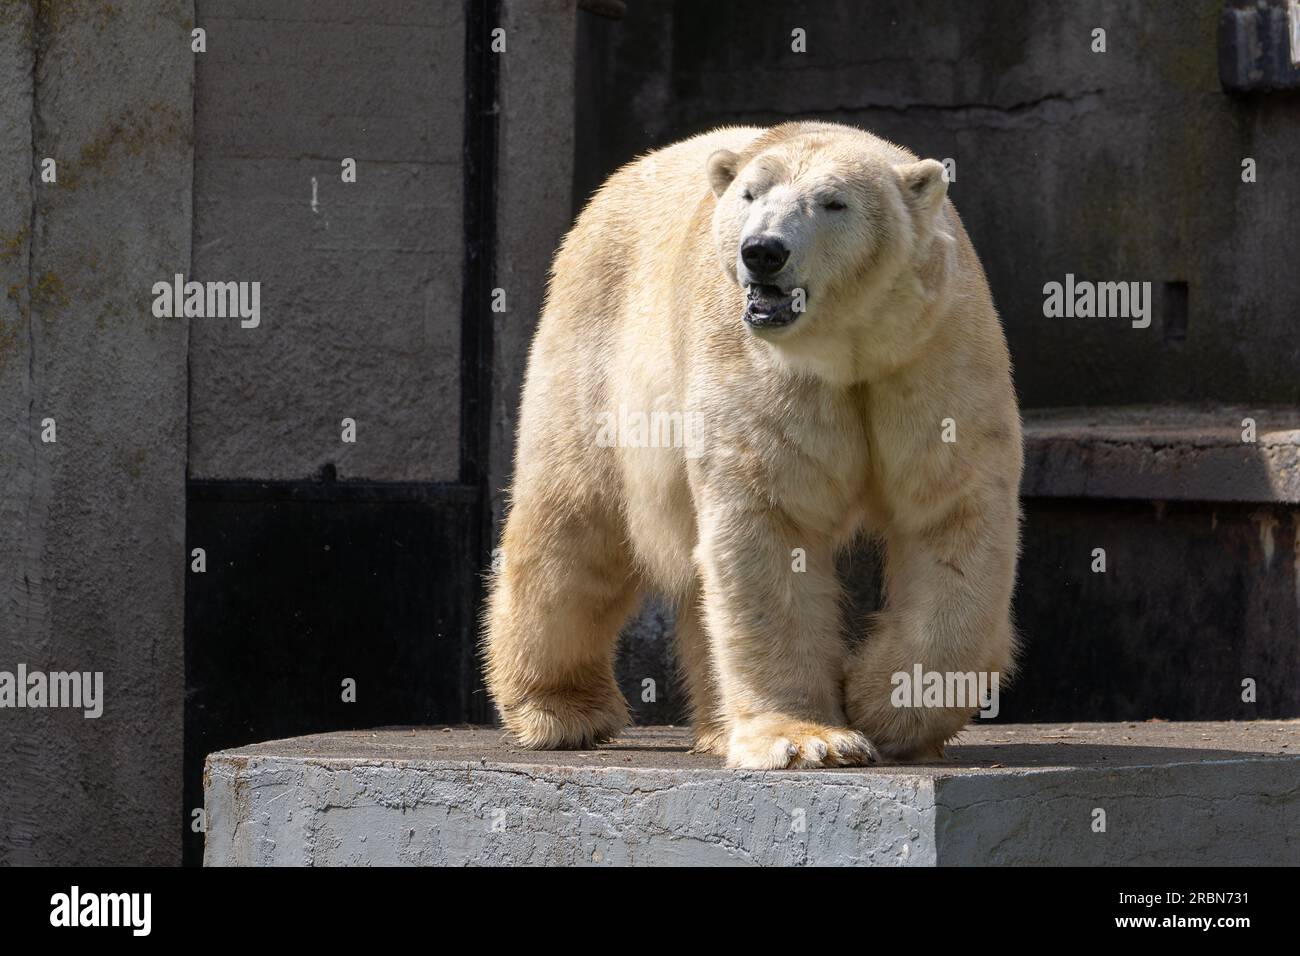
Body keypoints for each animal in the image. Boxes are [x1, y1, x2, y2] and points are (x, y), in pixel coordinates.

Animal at [484, 121, 1022, 769]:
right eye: (750, 194)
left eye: (833, 202)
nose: (763, 250)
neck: (847, 348)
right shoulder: (759, 367)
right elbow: (770, 521)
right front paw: (810, 739)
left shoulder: (931, 351)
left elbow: (953, 514)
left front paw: (885, 706)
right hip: (597, 343)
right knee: (575, 525)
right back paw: (559, 711)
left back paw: (715, 725)